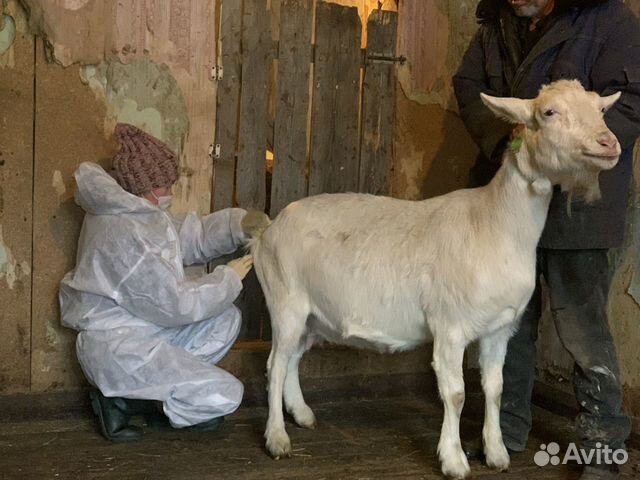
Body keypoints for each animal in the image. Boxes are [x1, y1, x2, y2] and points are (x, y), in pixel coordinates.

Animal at [249, 80, 621, 479]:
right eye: (549, 112)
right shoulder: (450, 325)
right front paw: (453, 460)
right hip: (284, 302)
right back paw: (277, 438)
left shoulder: (500, 328)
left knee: (292, 358)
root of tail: (268, 229)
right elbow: (456, 394)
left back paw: (301, 414)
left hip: (314, 316)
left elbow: (495, 388)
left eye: (601, 109)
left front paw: (496, 452)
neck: (494, 224)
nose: (608, 143)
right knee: (275, 364)